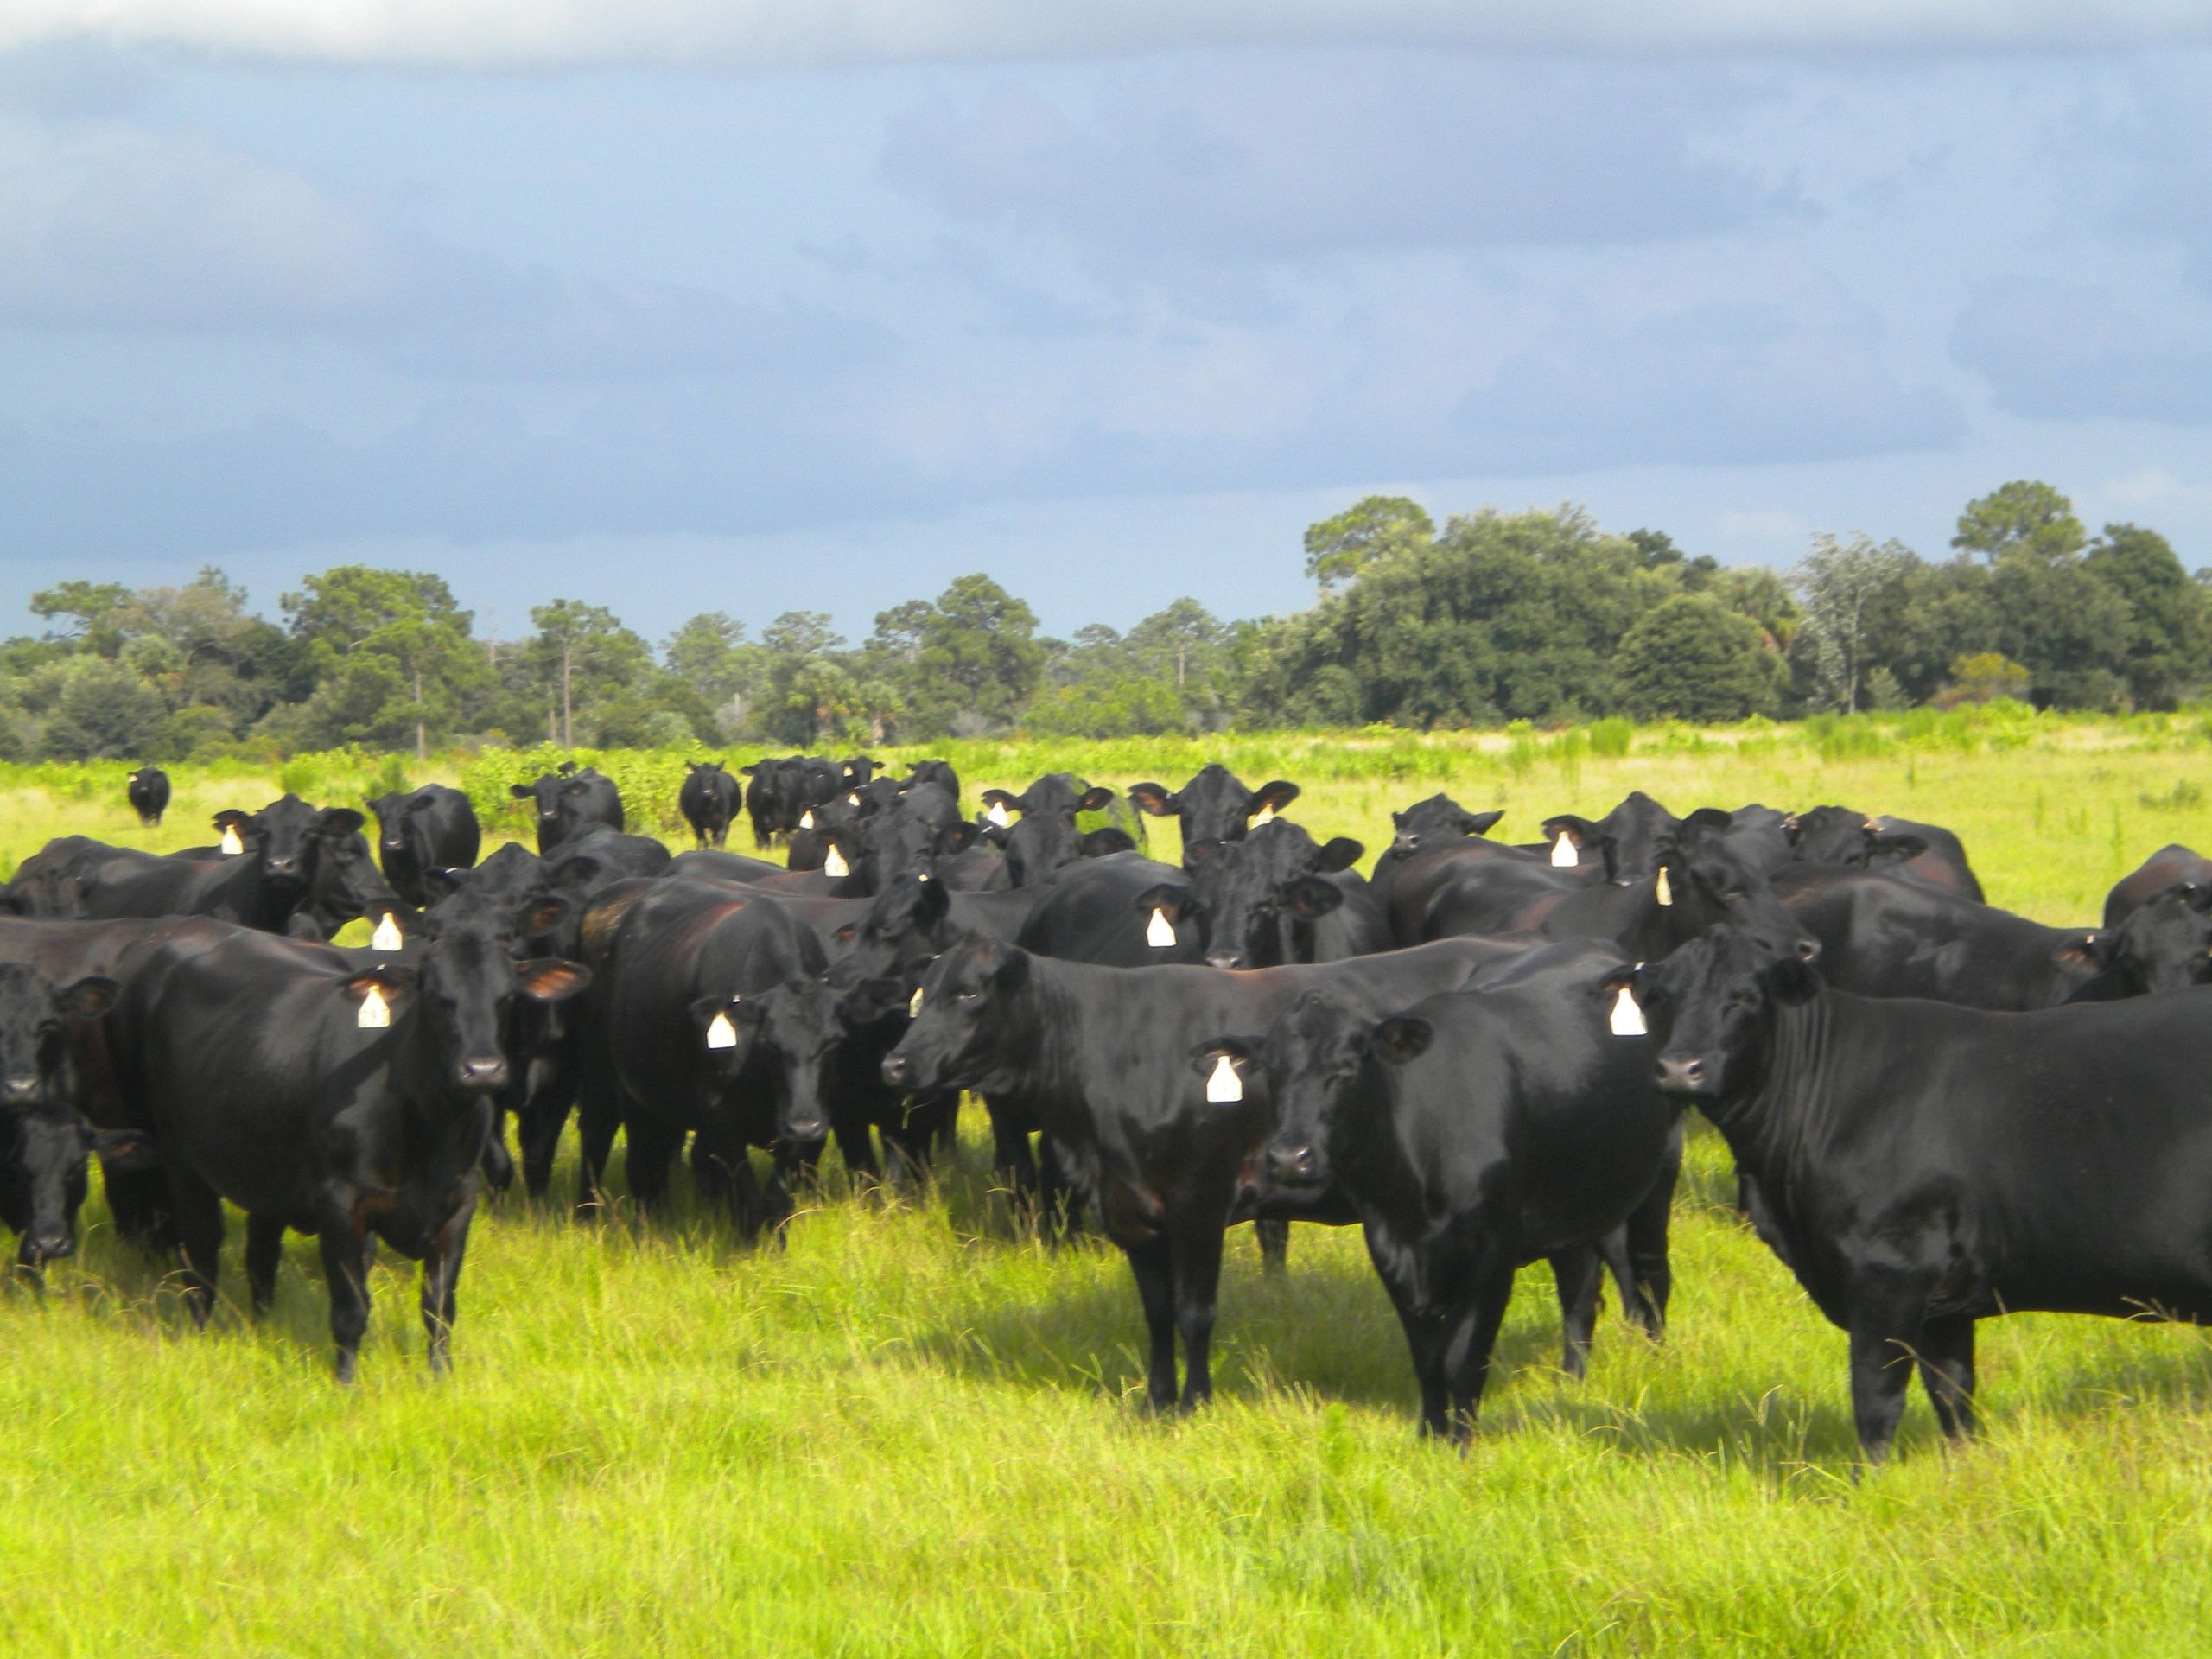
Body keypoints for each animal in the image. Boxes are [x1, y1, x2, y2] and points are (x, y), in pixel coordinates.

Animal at [106, 917, 589, 1379]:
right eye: (436, 996)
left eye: (506, 997)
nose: (483, 1070)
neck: (427, 1130)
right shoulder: (340, 1205)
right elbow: (351, 1310)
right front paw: (346, 1383)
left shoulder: (458, 1203)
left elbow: (439, 1308)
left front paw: (441, 1377)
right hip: (183, 1162)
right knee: (202, 1255)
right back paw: (203, 1331)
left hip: (265, 1171)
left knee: (260, 1256)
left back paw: (261, 1326)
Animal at [877, 934, 1504, 1412]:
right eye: (921, 996)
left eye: (968, 992)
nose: (895, 1063)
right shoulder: (1130, 1210)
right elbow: (1157, 1314)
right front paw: (1156, 1402)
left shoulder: (1199, 1200)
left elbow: (1195, 1313)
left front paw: (1194, 1402)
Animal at [1230, 941, 1681, 1439]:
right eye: (1271, 1071)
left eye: (1346, 1067)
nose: (1291, 1157)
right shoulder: (1391, 1250)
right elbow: (1428, 1361)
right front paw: (1430, 1437)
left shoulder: (1493, 1255)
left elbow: (1463, 1360)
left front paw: (1462, 1443)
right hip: (1573, 1201)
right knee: (1580, 1289)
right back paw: (1571, 1381)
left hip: (1660, 1169)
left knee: (1650, 1273)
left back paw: (1656, 1362)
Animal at [1638, 926, 2212, 1464]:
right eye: (1663, 995)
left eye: (1744, 997)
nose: (1679, 1068)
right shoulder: (1946, 1300)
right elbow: (1953, 1394)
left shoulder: (1890, 1270)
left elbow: (1876, 1397)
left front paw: (1866, 1485)